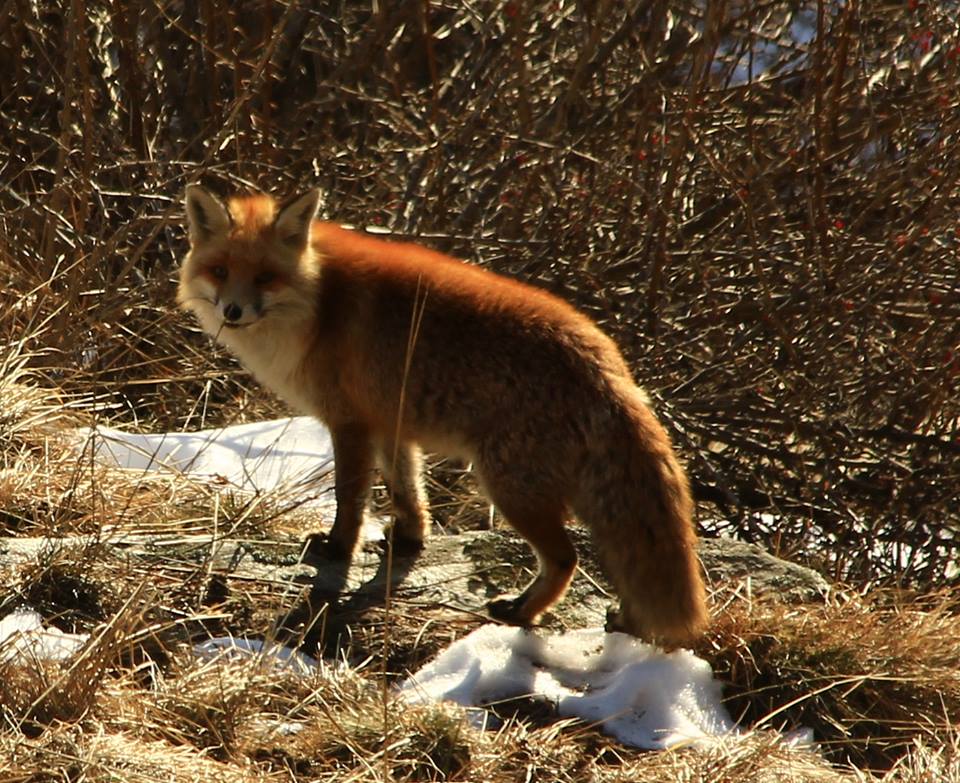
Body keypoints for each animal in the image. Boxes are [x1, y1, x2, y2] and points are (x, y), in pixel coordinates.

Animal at [177, 185, 708, 648]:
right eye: (220, 270)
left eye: (265, 277)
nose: (233, 311)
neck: (319, 304)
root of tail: (608, 364)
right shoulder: (389, 424)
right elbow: (408, 492)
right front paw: (408, 540)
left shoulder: (349, 423)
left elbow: (350, 500)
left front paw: (338, 548)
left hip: (510, 489)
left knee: (566, 558)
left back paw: (523, 612)